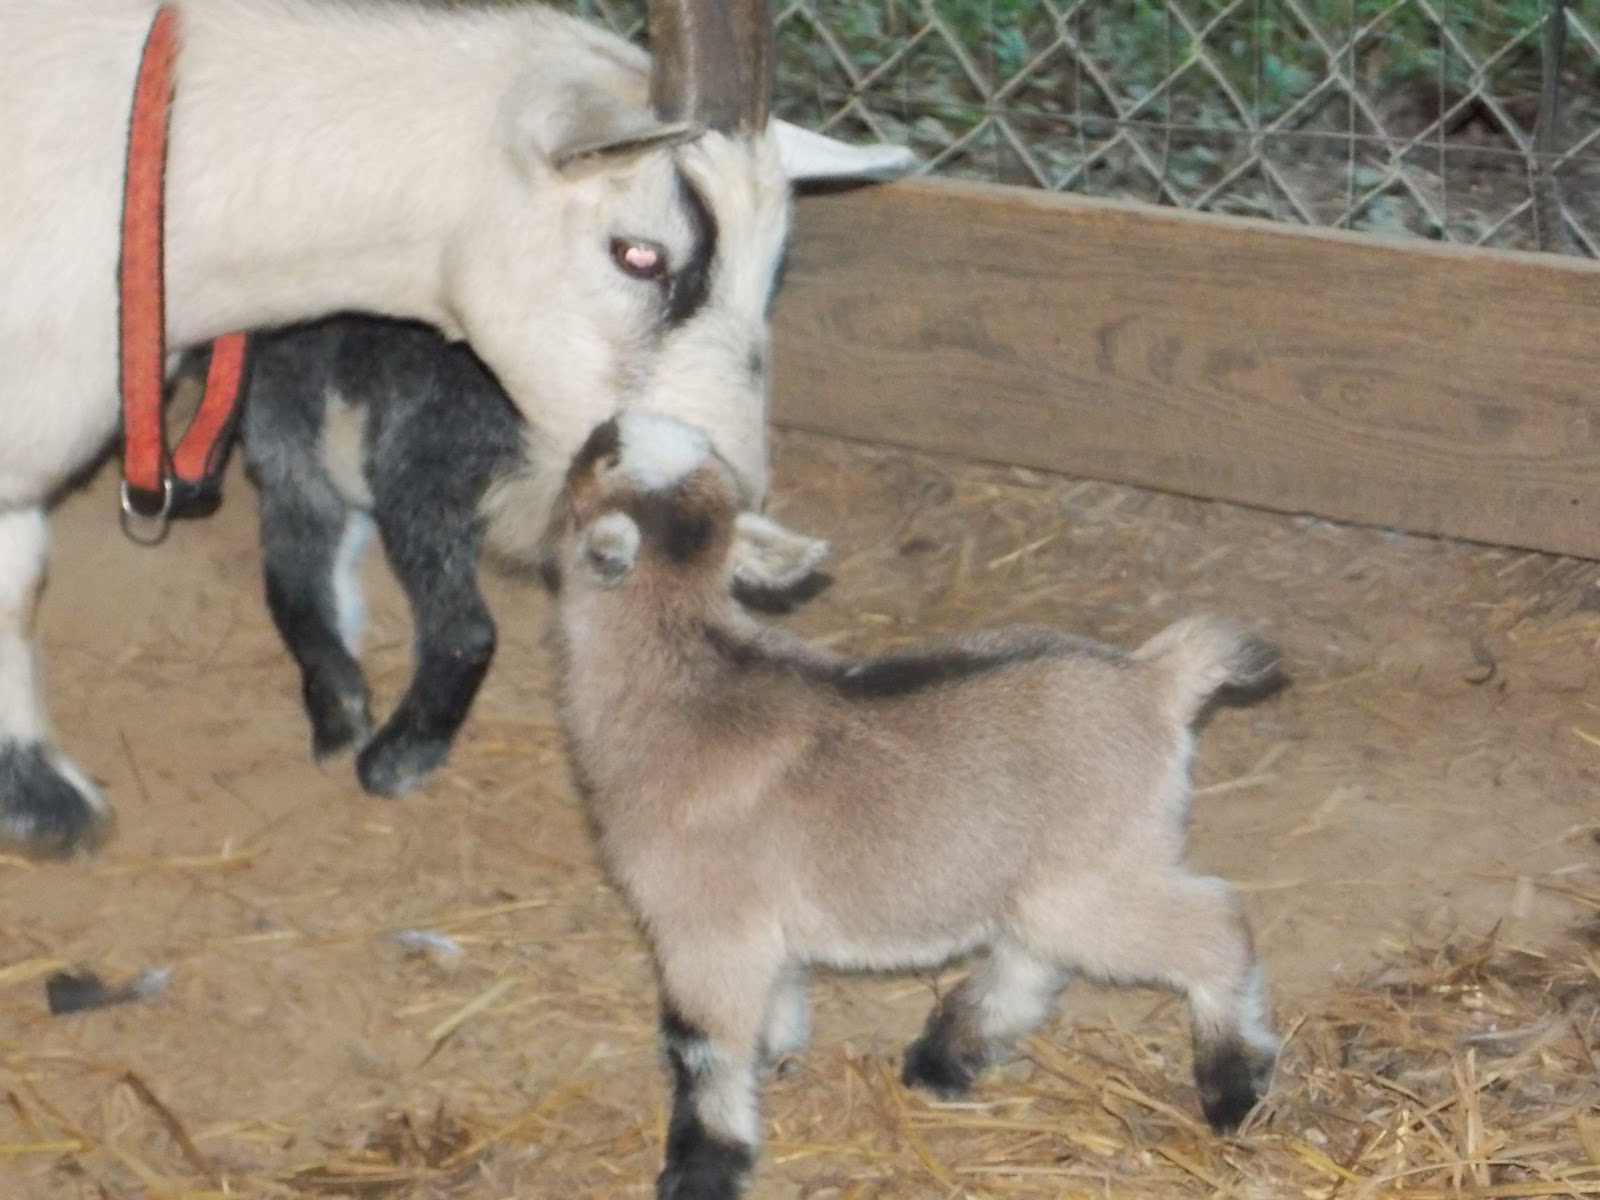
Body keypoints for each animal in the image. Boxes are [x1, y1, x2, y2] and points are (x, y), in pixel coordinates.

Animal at [198, 314, 825, 797]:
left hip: (419, 471)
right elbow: (315, 594)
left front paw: (340, 719)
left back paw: (399, 758)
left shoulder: (290, 457)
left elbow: (291, 594)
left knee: (466, 629)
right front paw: (340, 702)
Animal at [548, 412, 1284, 1200]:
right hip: (1058, 872)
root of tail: (1154, 679)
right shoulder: (759, 921)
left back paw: (1233, 1083)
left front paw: (703, 1166)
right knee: (1036, 953)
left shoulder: (704, 924)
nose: (596, 427)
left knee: (1214, 925)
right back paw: (950, 1053)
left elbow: (703, 1046)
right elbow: (776, 996)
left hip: (1096, 874)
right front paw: (776, 1055)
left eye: (603, 459)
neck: (684, 681)